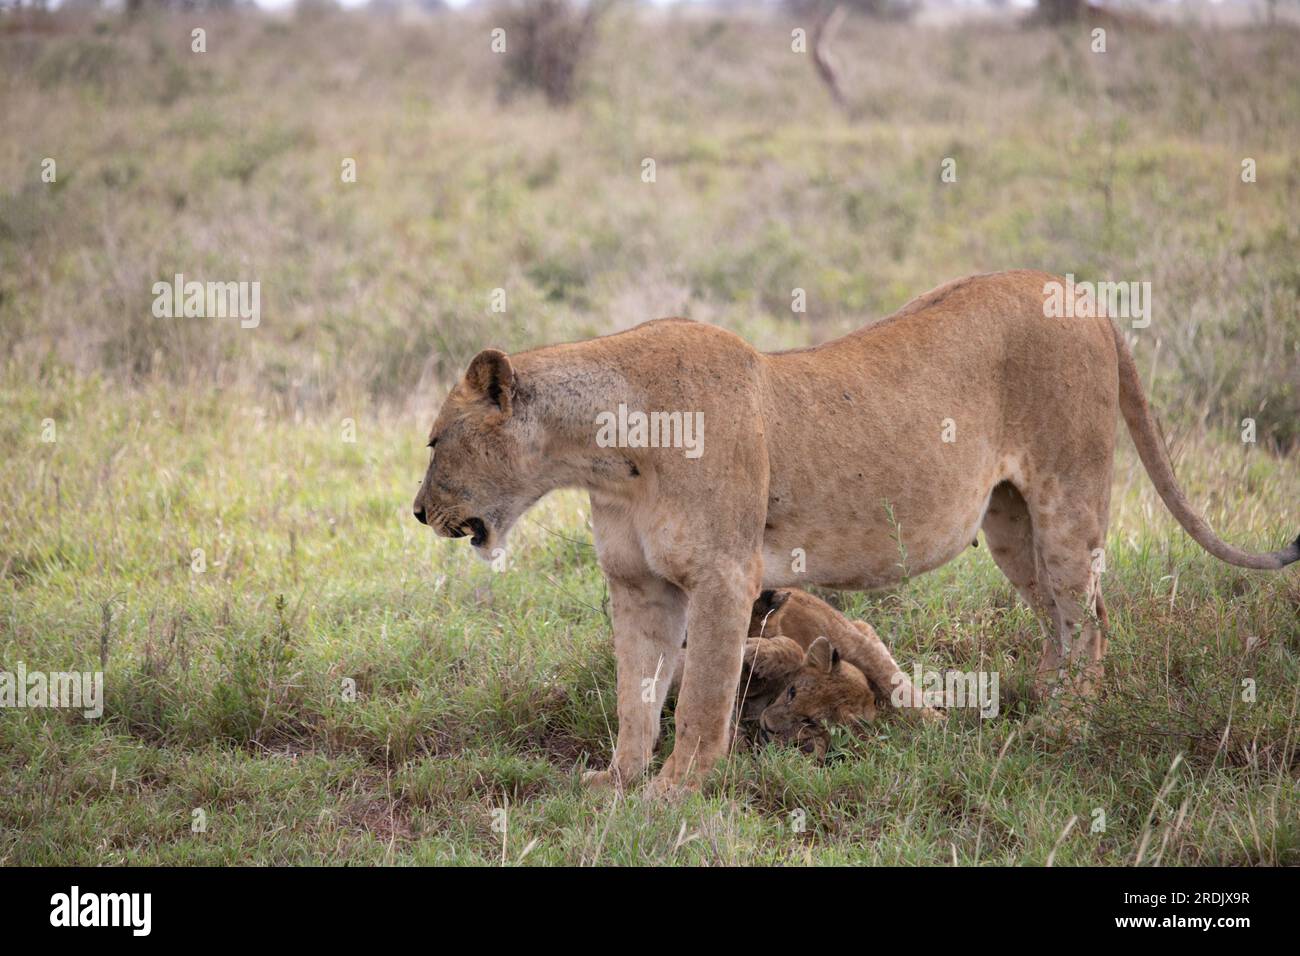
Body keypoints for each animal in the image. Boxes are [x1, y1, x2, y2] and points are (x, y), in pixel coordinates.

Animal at [413, 269, 1299, 797]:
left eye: (433, 442)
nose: (418, 513)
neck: (602, 457)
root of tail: (1073, 289)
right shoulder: (638, 587)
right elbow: (639, 693)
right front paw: (617, 783)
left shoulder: (726, 576)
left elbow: (701, 697)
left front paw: (678, 789)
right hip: (1009, 520)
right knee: (1058, 616)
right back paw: (1032, 710)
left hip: (1066, 494)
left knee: (1090, 616)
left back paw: (1067, 724)